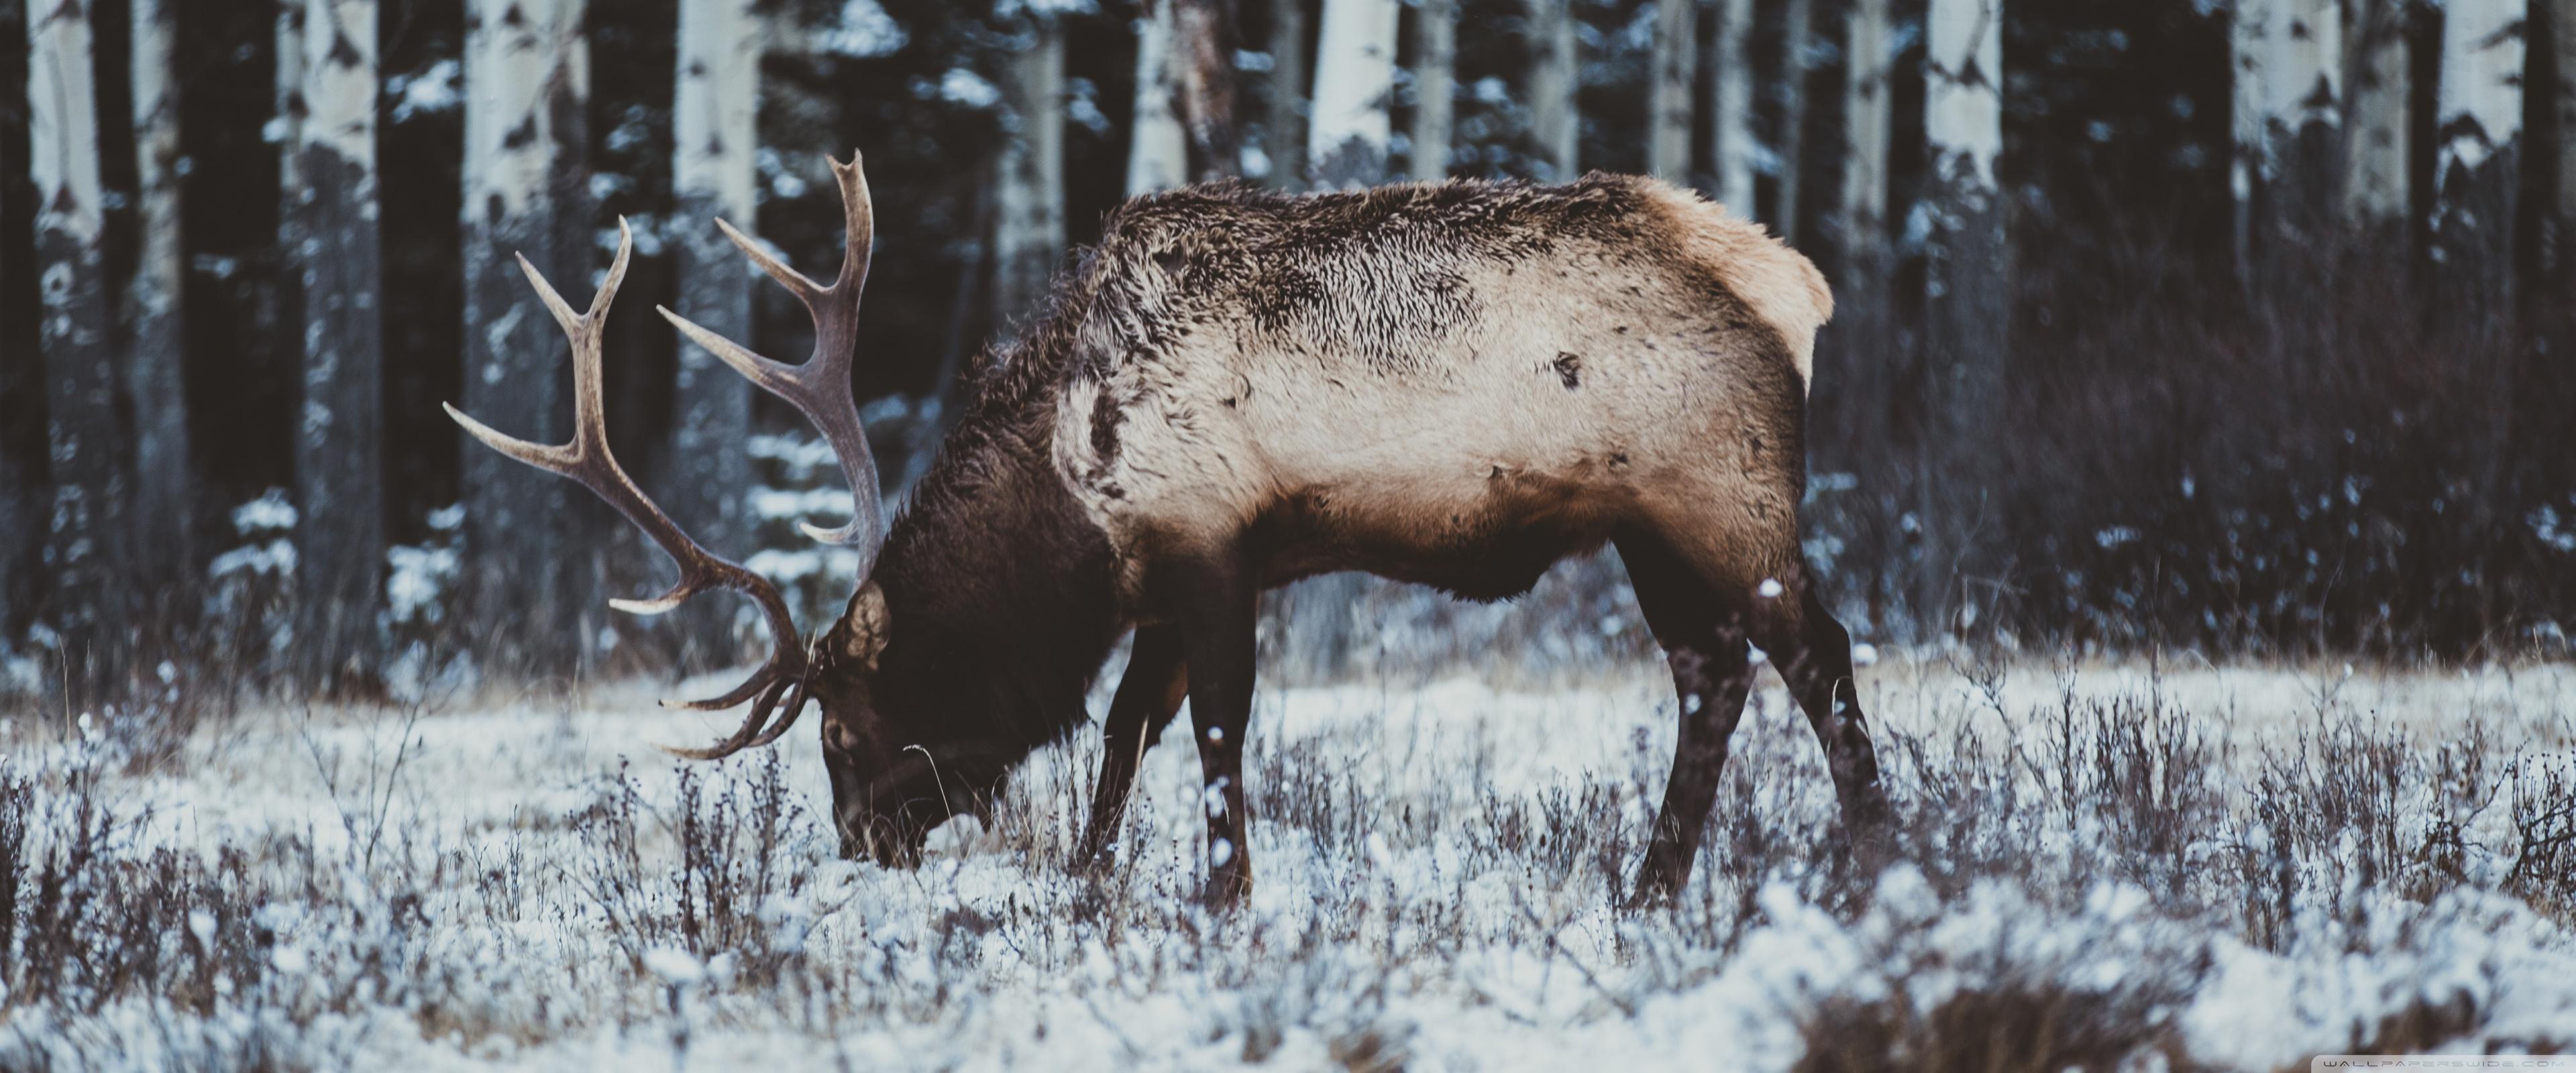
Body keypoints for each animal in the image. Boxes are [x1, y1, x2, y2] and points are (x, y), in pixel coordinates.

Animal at [446, 152, 1891, 907]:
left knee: (1815, 653)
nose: (861, 846)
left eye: (846, 729)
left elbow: (1209, 731)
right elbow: (1128, 727)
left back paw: (1876, 856)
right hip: (1649, 529)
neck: (1065, 502)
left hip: (1723, 495)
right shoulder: (1161, 579)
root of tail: (1799, 287)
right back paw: (1651, 884)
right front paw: (1092, 882)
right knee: (1712, 676)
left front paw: (1222, 890)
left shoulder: (1212, 548)